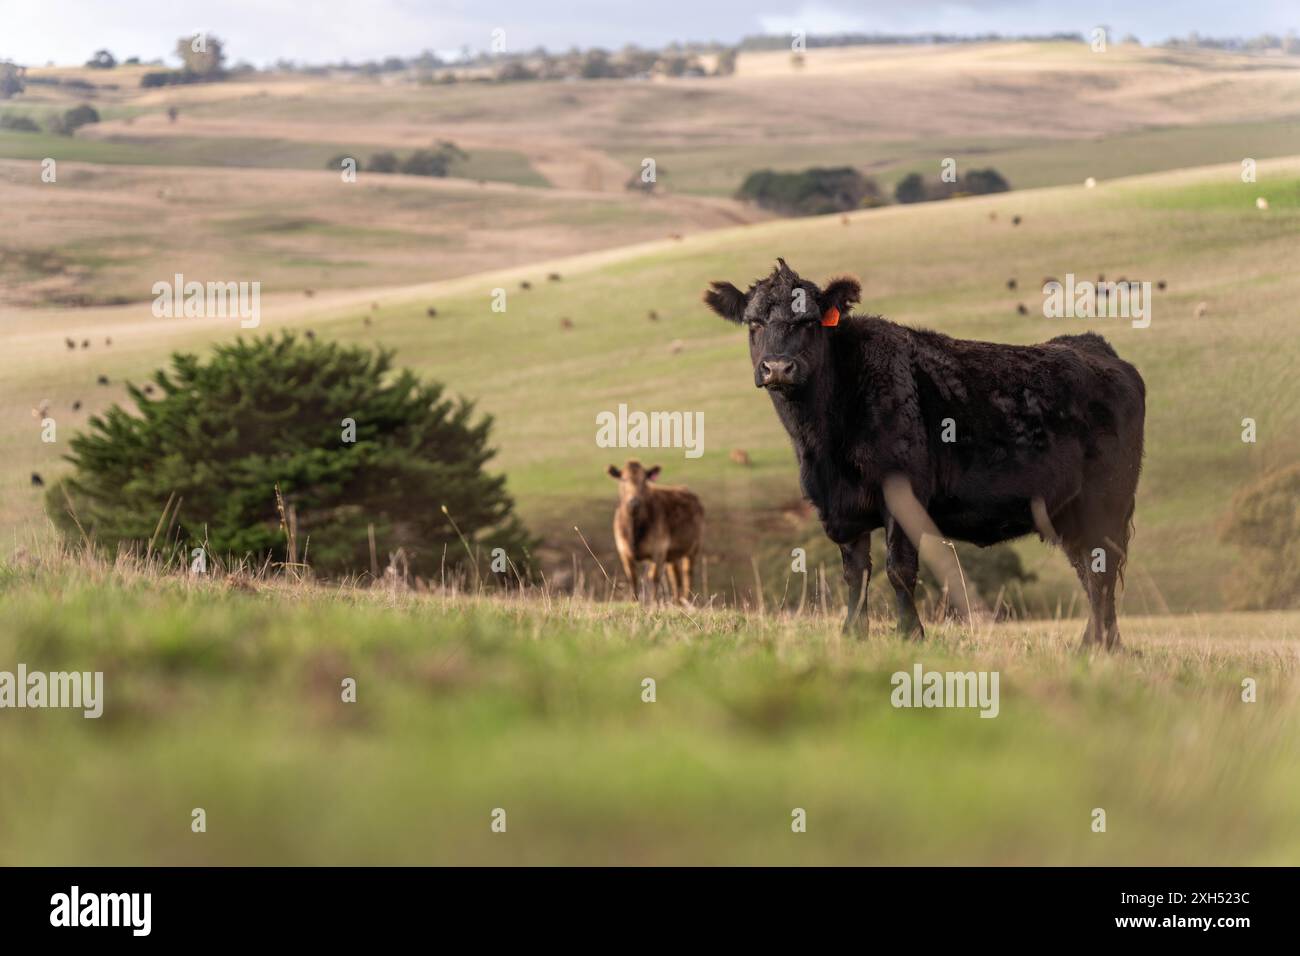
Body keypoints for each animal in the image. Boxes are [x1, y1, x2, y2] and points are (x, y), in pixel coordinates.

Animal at [607, 459, 704, 605]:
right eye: (623, 479)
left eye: (644, 480)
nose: (634, 502)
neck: (634, 532)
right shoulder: (623, 551)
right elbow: (632, 576)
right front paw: (634, 601)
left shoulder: (659, 550)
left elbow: (654, 577)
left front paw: (653, 603)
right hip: (673, 554)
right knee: (675, 576)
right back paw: (676, 602)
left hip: (694, 547)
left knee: (688, 573)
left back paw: (686, 601)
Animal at [703, 259, 1145, 651]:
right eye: (754, 323)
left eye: (809, 322)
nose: (778, 368)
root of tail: (1092, 345)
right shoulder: (842, 508)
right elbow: (855, 573)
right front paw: (853, 633)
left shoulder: (903, 495)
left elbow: (898, 570)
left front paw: (909, 634)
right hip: (1069, 512)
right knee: (1090, 572)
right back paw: (1097, 645)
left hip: (1105, 504)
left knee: (1102, 572)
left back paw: (1101, 647)